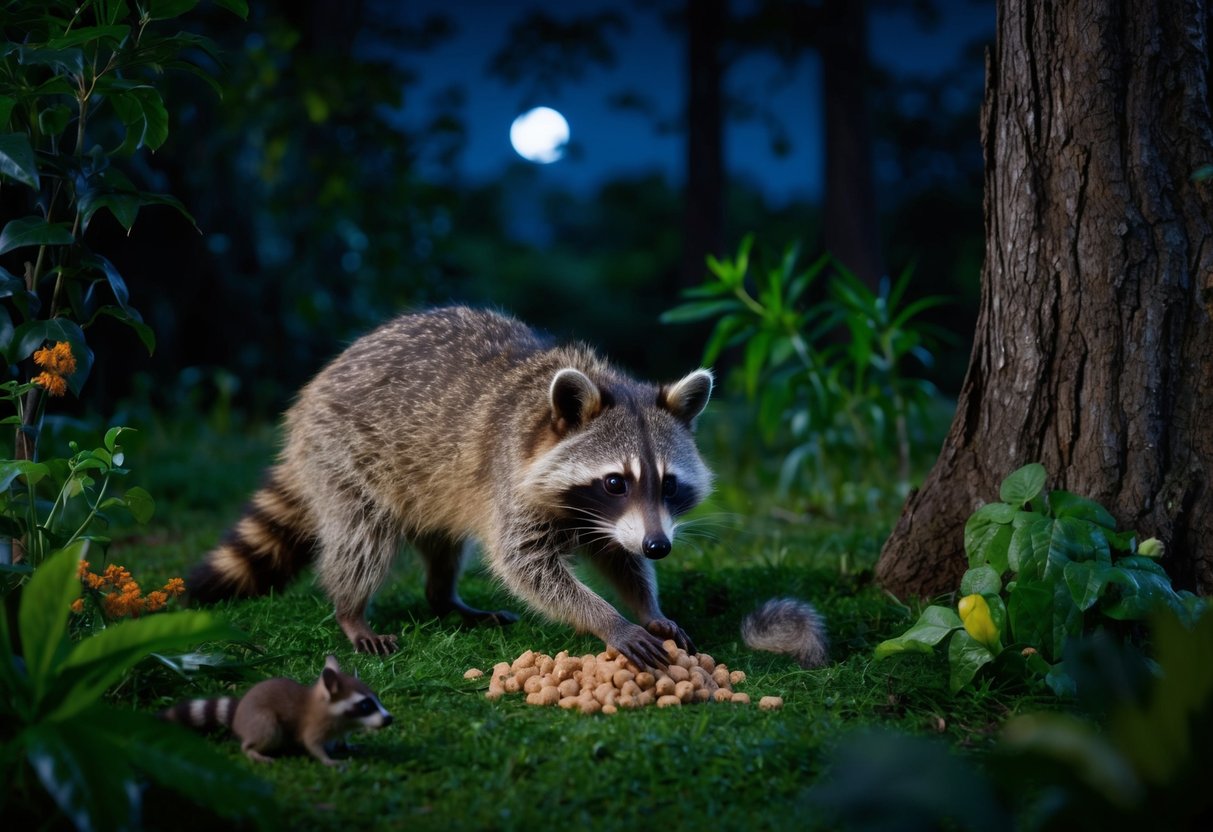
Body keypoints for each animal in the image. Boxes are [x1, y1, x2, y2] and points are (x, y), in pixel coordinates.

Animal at [160, 655, 392, 766]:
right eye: (366, 705)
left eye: (376, 699)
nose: (389, 718)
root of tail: (239, 715)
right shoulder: (314, 724)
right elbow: (312, 743)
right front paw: (327, 759)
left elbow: (340, 740)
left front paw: (347, 745)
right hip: (262, 721)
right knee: (266, 732)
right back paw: (252, 751)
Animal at [188, 306, 714, 668]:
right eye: (615, 482)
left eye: (669, 485)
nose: (659, 546)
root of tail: (317, 386)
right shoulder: (512, 480)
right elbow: (527, 566)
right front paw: (608, 620)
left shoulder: (610, 520)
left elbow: (619, 555)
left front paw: (646, 606)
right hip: (343, 455)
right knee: (362, 537)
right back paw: (351, 610)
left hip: (427, 486)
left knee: (442, 546)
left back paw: (446, 598)